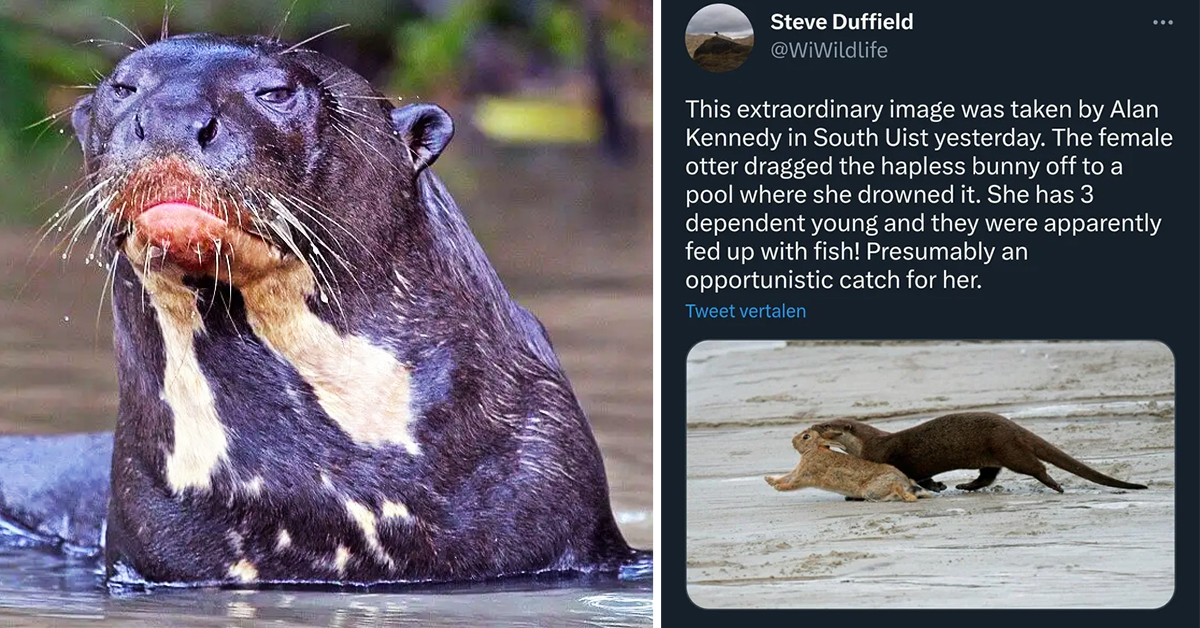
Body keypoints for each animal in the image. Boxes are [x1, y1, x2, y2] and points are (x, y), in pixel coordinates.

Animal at [765, 429, 929, 502]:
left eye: (806, 436)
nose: (792, 441)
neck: (813, 450)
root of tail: (906, 483)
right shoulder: (797, 471)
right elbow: (787, 476)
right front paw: (770, 480)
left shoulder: (806, 475)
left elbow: (793, 483)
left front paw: (779, 488)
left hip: (872, 489)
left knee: (897, 488)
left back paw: (909, 497)